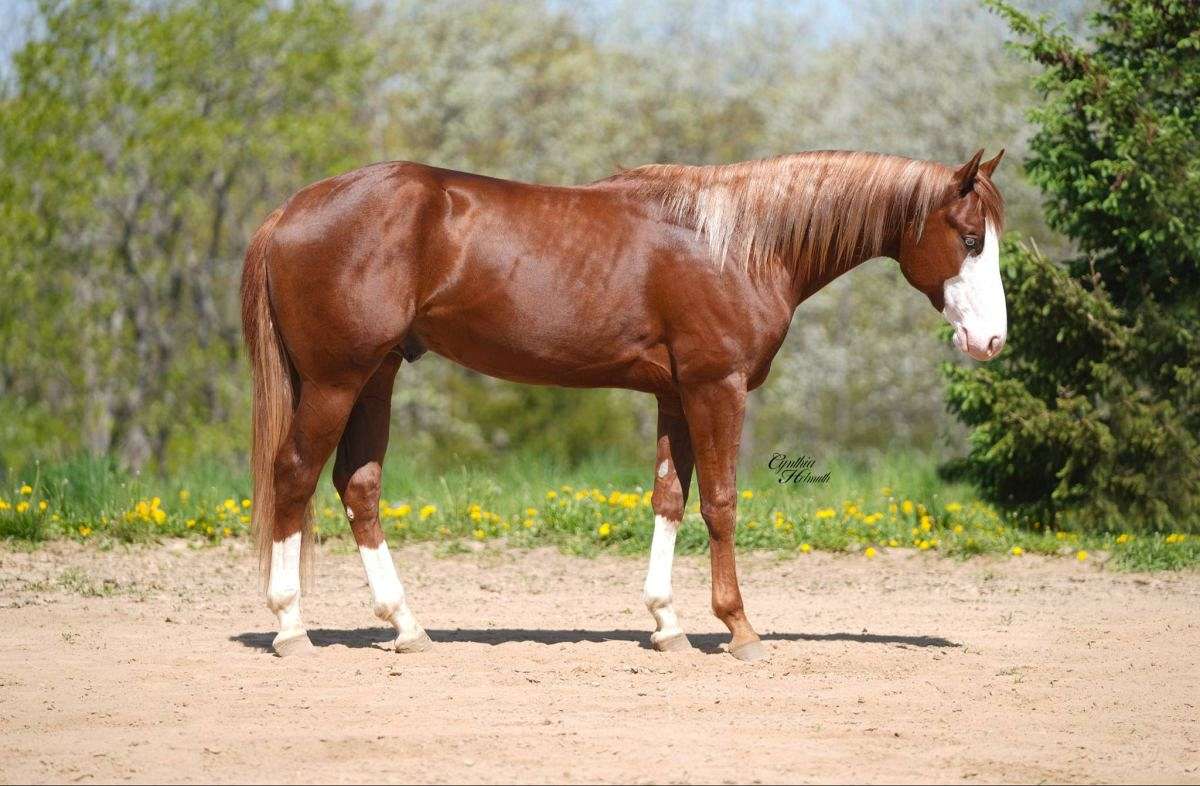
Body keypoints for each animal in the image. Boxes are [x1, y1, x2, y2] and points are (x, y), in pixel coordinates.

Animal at [241, 147, 1006, 661]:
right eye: (970, 239)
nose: (991, 340)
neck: (738, 245)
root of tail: (289, 211)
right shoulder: (715, 387)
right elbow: (720, 503)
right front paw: (739, 628)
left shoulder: (675, 395)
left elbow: (669, 499)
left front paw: (666, 624)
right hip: (336, 380)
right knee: (294, 476)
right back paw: (290, 627)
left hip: (375, 376)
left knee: (356, 485)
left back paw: (406, 626)